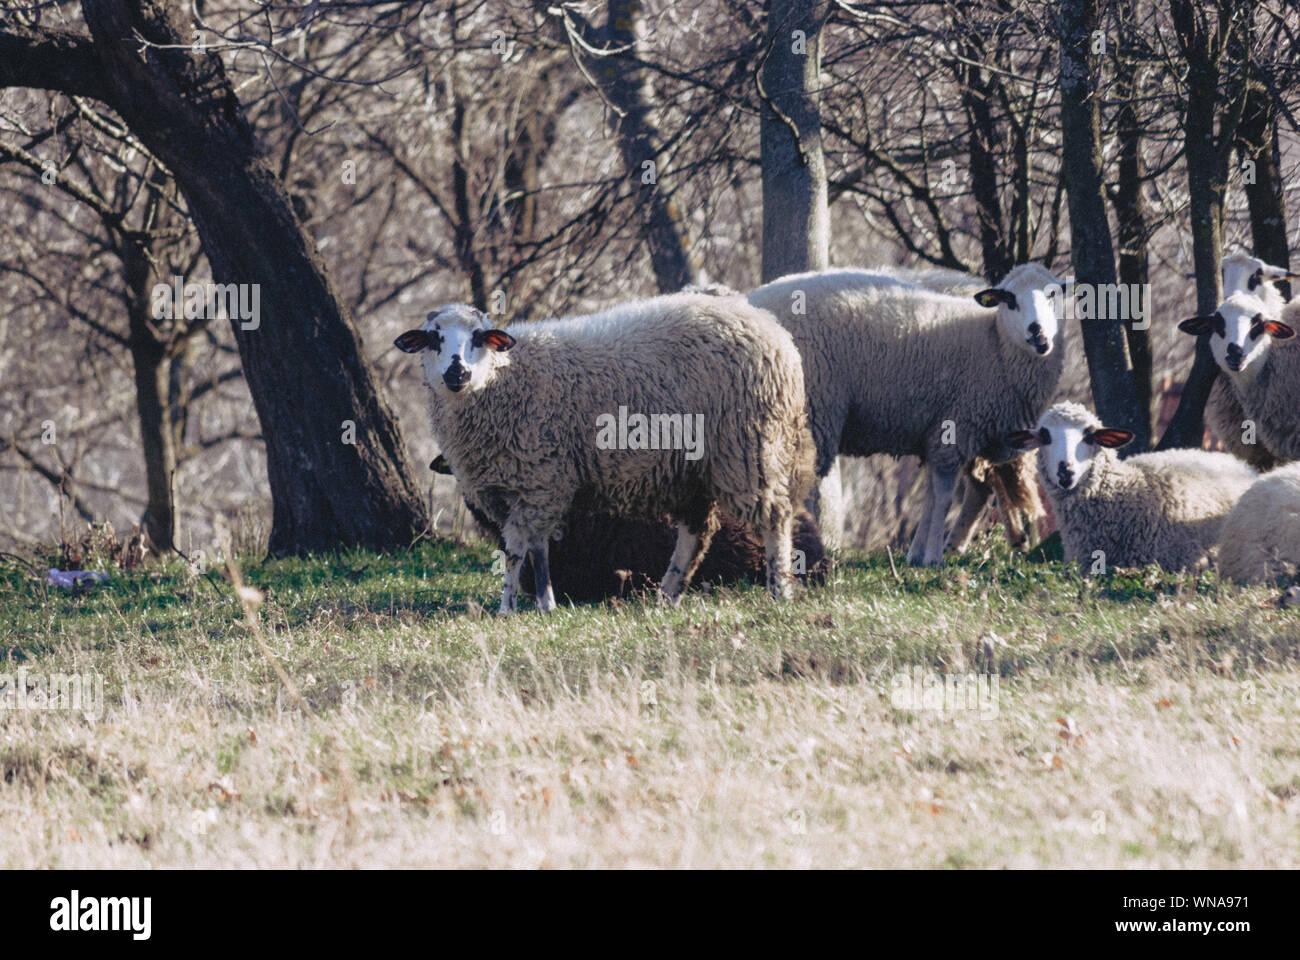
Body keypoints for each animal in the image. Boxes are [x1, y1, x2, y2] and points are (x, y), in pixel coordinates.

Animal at [395, 295, 814, 613]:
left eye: (479, 337)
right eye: (433, 339)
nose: (457, 374)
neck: (504, 378)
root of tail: (774, 331)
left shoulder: (539, 478)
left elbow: (521, 550)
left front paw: (520, 607)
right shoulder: (518, 485)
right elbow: (529, 549)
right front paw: (531, 604)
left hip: (748, 447)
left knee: (775, 517)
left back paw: (780, 591)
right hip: (695, 469)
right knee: (697, 532)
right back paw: (667, 596)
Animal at [747, 262, 1065, 565]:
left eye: (1053, 294)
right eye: (1011, 300)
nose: (1037, 331)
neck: (993, 342)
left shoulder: (941, 430)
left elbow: (934, 496)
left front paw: (919, 555)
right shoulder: (956, 425)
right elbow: (942, 496)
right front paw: (932, 556)